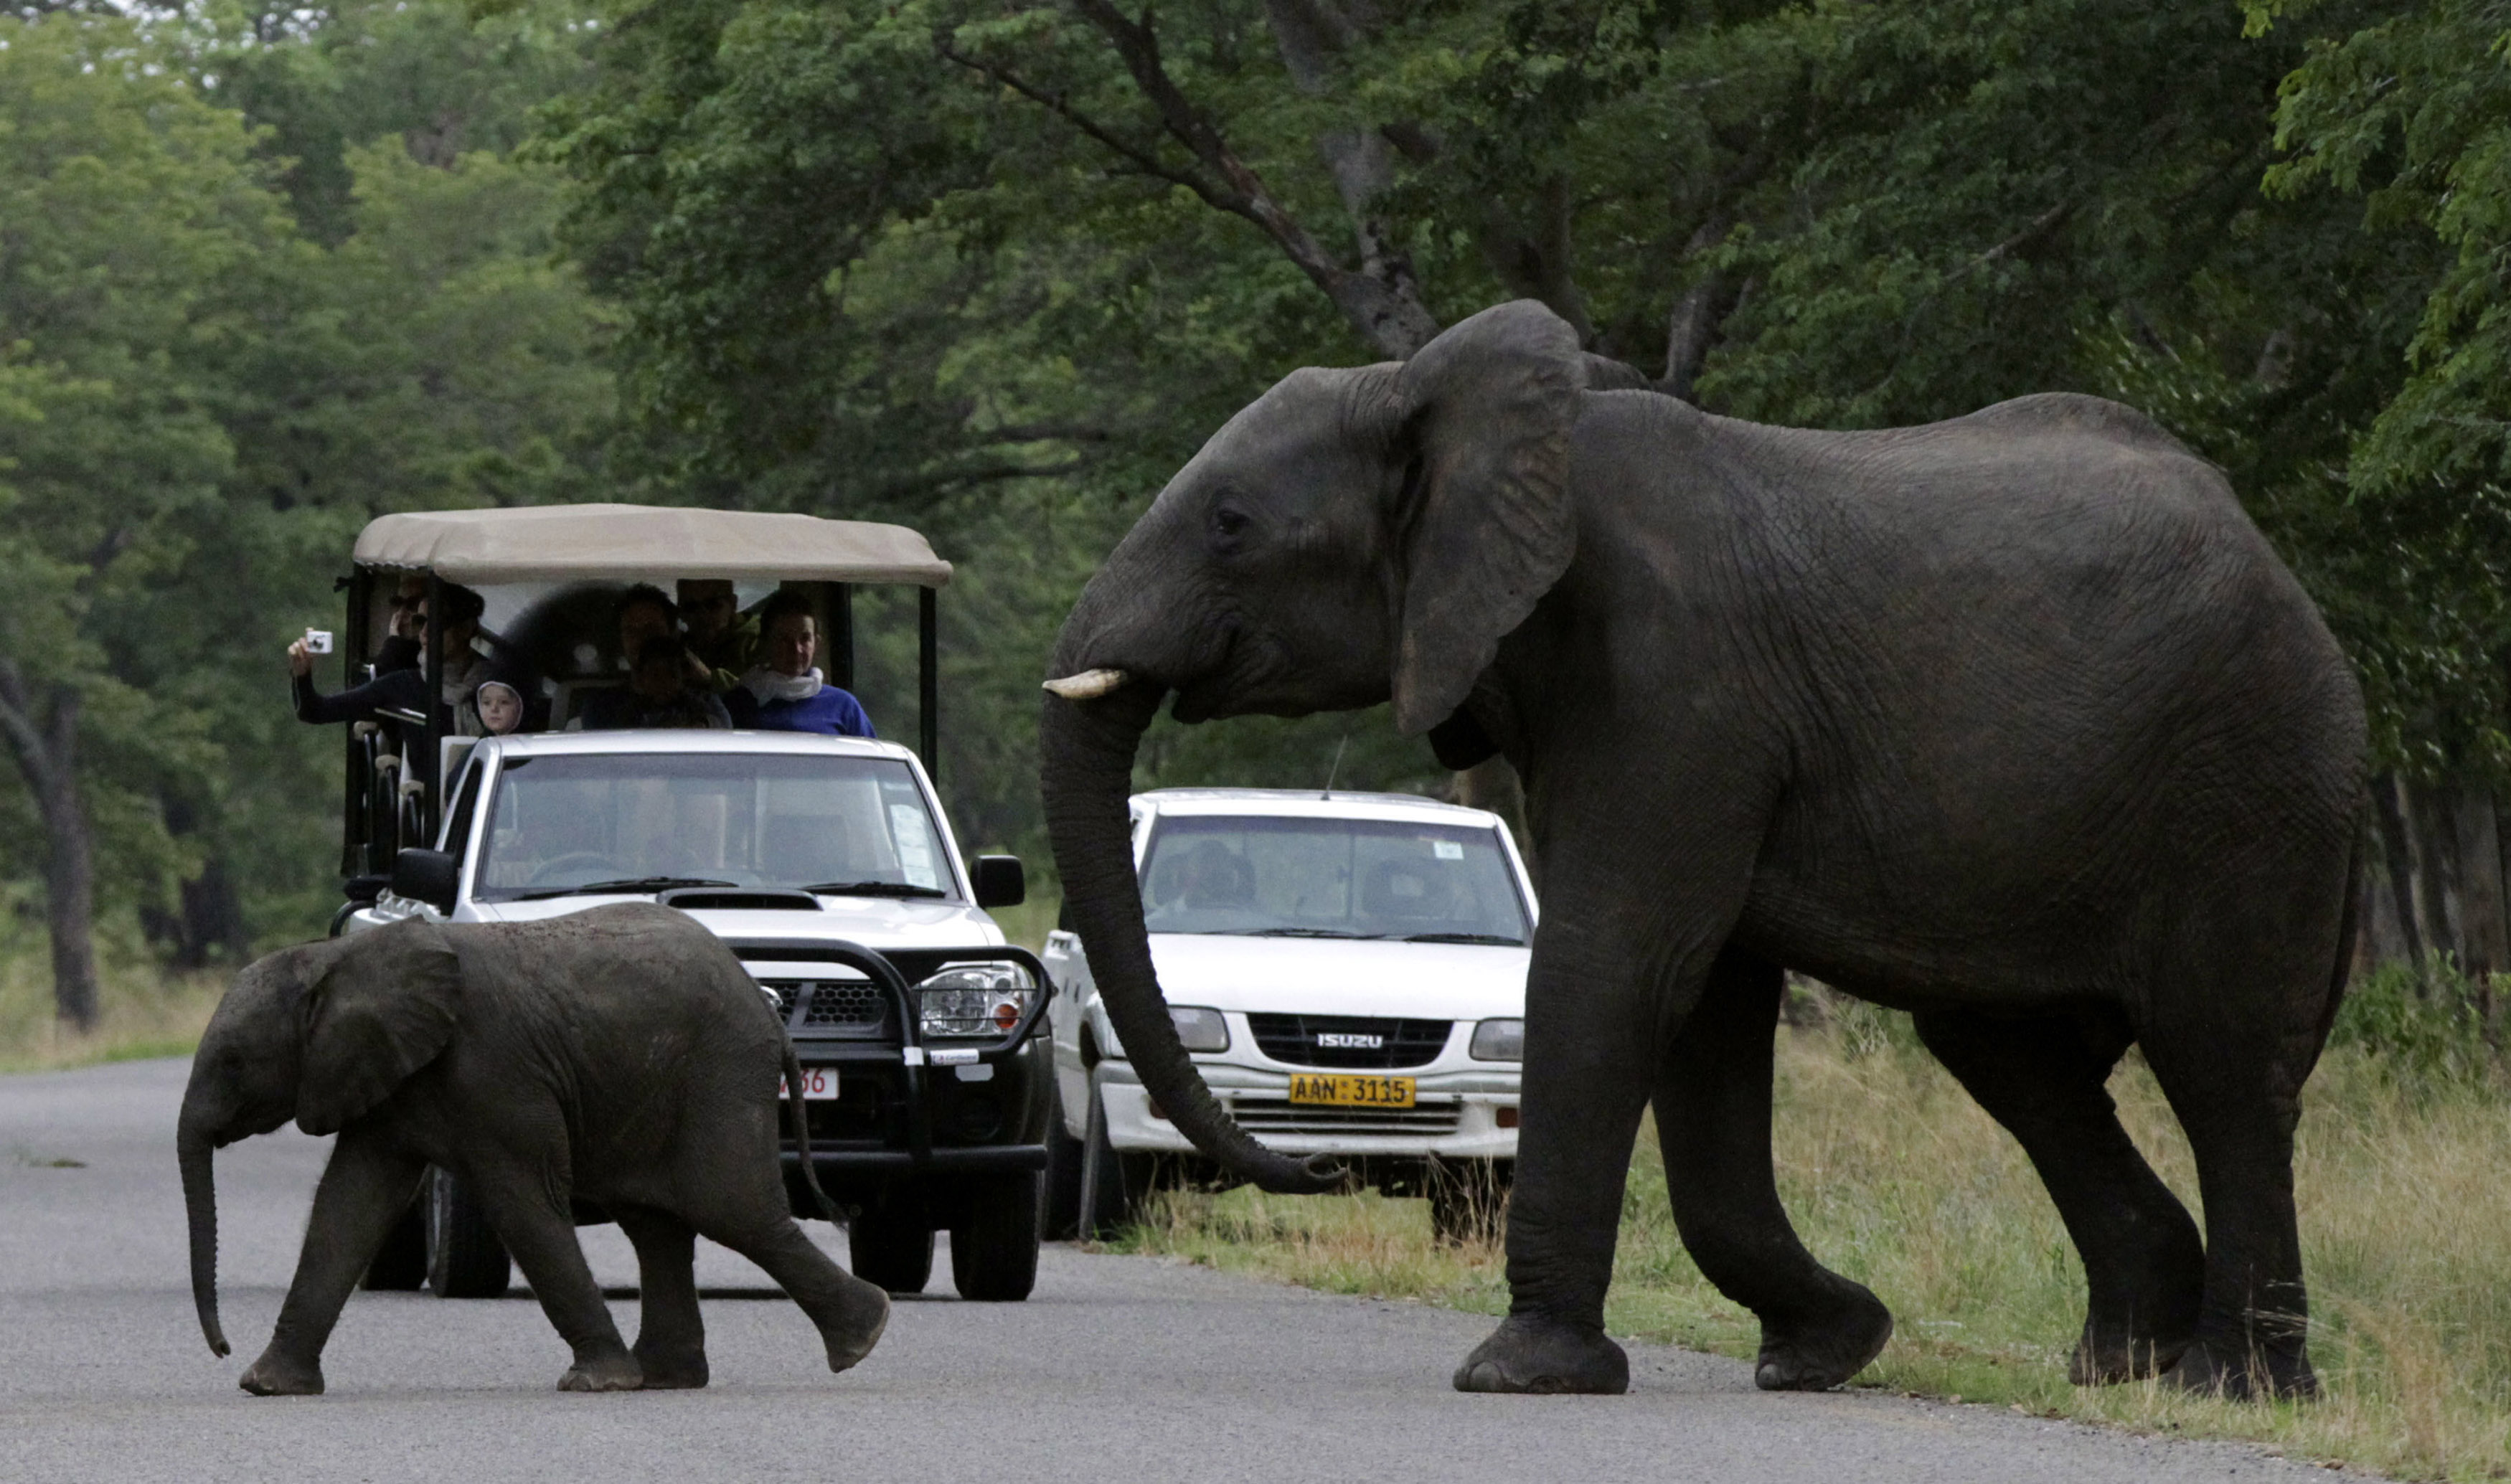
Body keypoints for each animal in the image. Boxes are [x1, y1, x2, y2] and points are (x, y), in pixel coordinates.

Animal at [178, 903, 891, 1395]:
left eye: (235, 1062)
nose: (219, 1347)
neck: (338, 956)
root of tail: (767, 1008)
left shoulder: (494, 1069)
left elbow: (521, 1204)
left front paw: (595, 1383)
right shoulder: (388, 1075)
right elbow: (347, 1206)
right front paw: (265, 1385)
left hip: (719, 1070)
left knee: (730, 1207)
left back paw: (864, 1337)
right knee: (658, 1224)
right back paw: (668, 1377)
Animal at [1038, 301, 2364, 1401]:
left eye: (1230, 525)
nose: (1319, 1161)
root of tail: (2282, 571)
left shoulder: (1679, 682)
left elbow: (1617, 962)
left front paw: (1519, 1375)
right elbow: (1704, 1001)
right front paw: (1831, 1347)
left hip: (2252, 784)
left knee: (2224, 1063)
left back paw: (2232, 1387)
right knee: (2019, 1060)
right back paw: (2119, 1361)